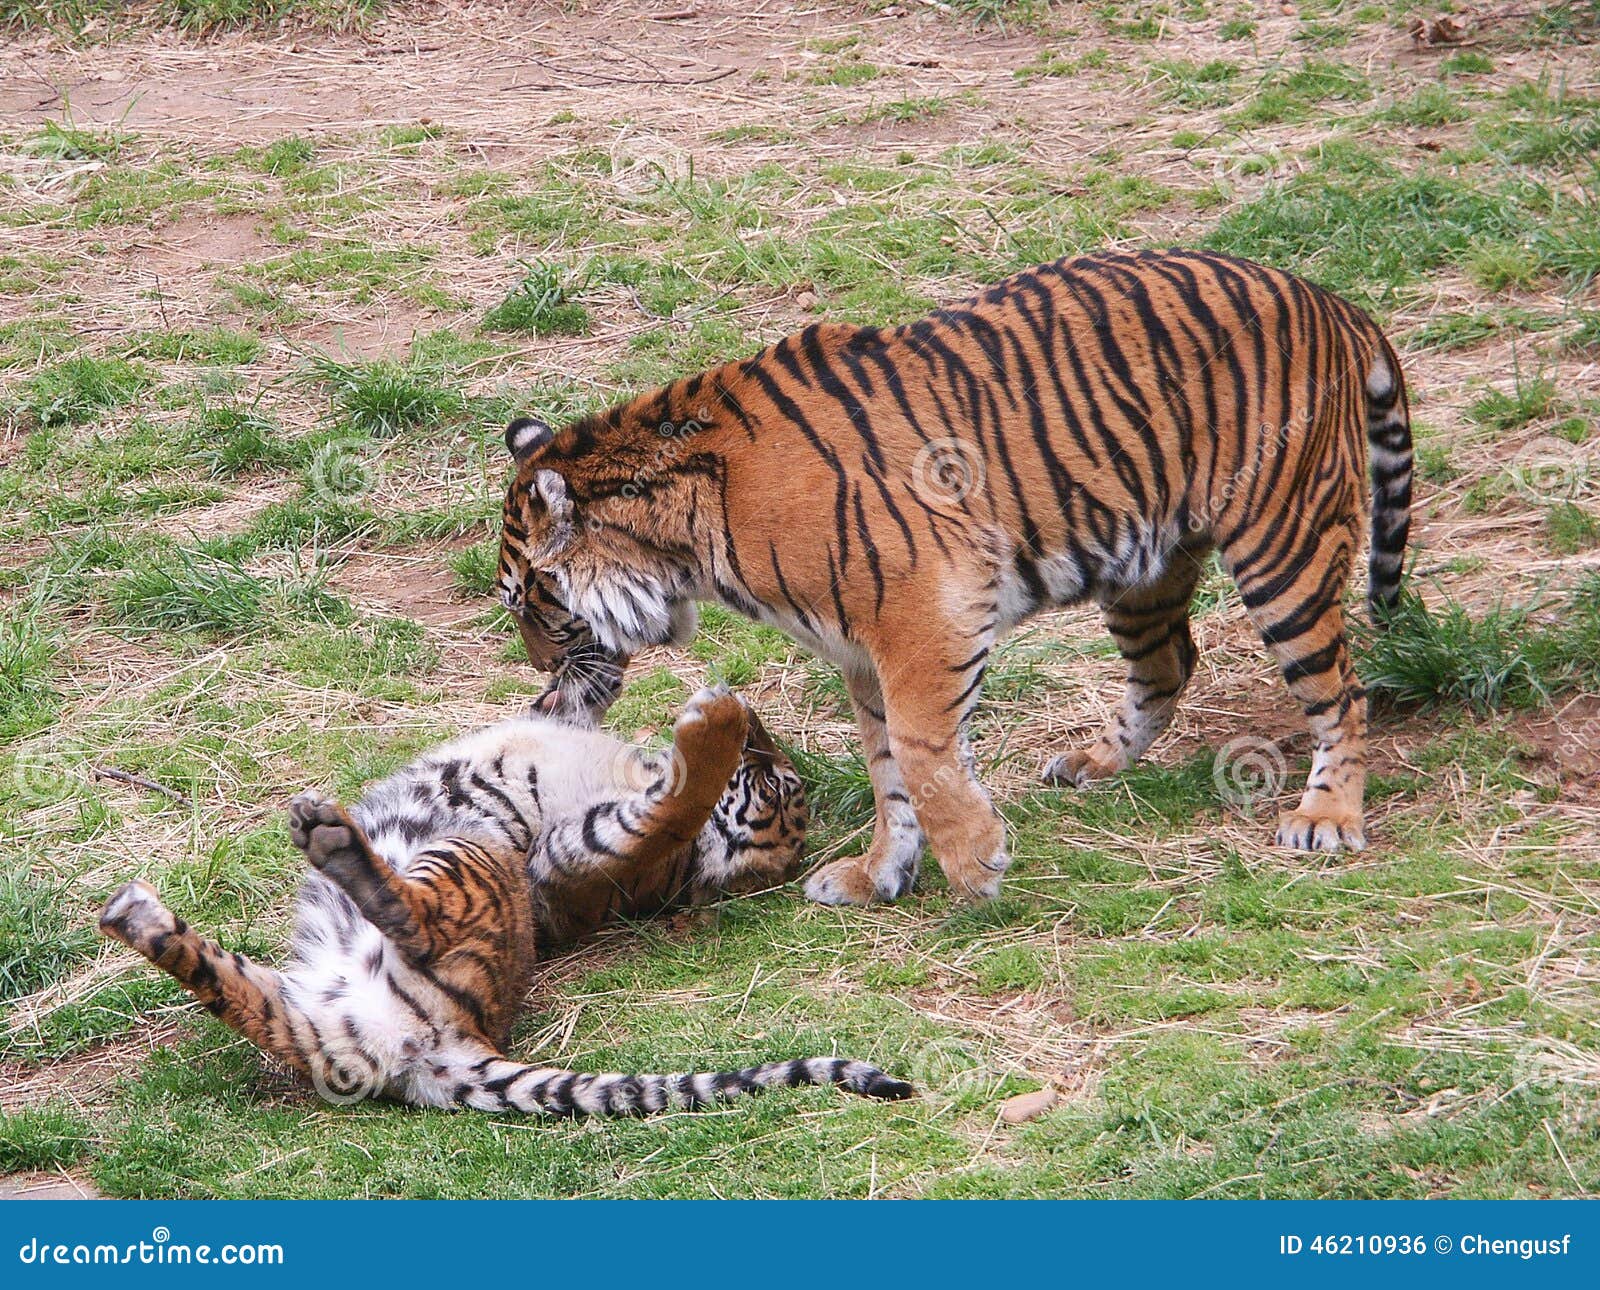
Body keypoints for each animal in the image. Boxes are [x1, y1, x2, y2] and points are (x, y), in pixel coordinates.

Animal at [98, 687, 912, 1114]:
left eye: (777, 782)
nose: (761, 732)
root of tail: (452, 1039)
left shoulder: (567, 857)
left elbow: (671, 809)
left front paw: (715, 722)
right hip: (301, 1008)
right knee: (231, 988)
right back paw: (139, 917)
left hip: (470, 855)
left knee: (411, 915)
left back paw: (331, 841)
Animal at [495, 248, 1413, 908]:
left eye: (531, 602)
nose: (540, 676)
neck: (684, 541)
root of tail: (1329, 299)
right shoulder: (861, 651)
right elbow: (888, 771)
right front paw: (878, 874)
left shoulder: (924, 612)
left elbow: (923, 755)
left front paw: (977, 868)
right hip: (1142, 565)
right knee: (1167, 666)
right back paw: (1091, 763)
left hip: (1282, 546)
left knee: (1340, 690)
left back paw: (1327, 818)